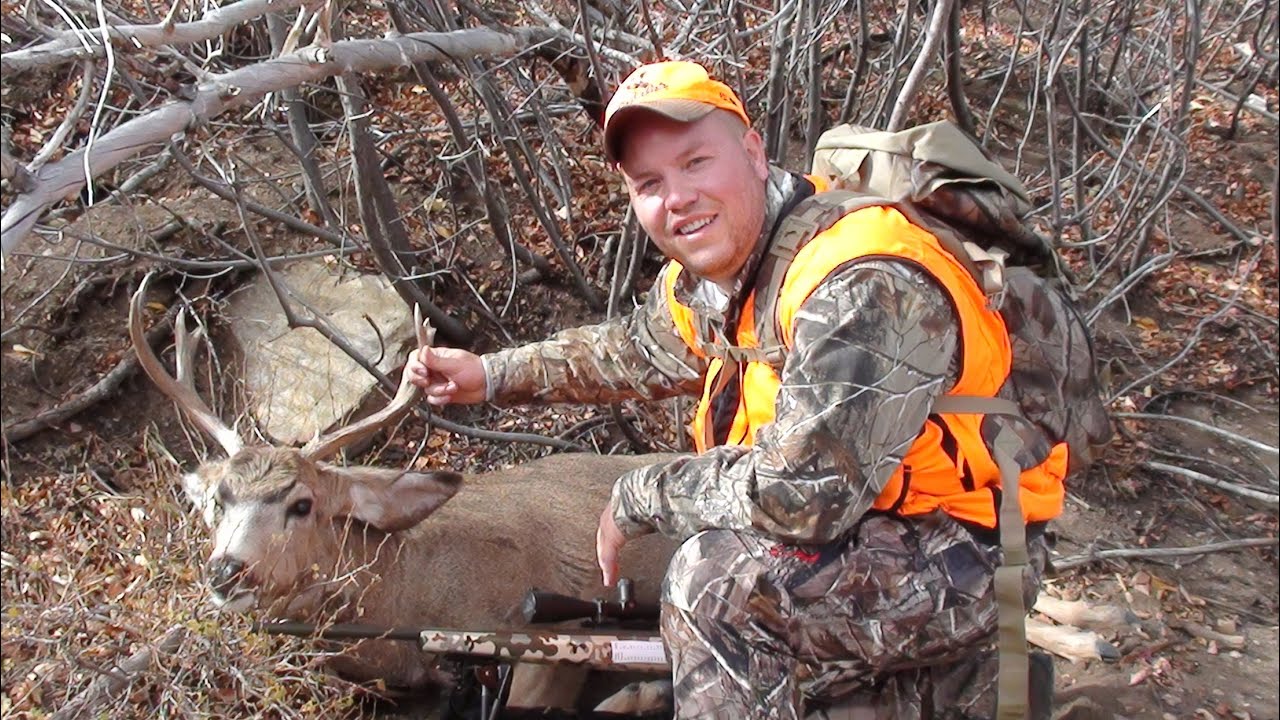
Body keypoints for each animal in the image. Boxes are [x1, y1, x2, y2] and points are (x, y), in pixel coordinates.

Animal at [128, 275, 677, 713]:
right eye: (218, 500)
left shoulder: (544, 638)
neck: (403, 592)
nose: (226, 571)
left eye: (302, 504)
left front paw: (643, 694)